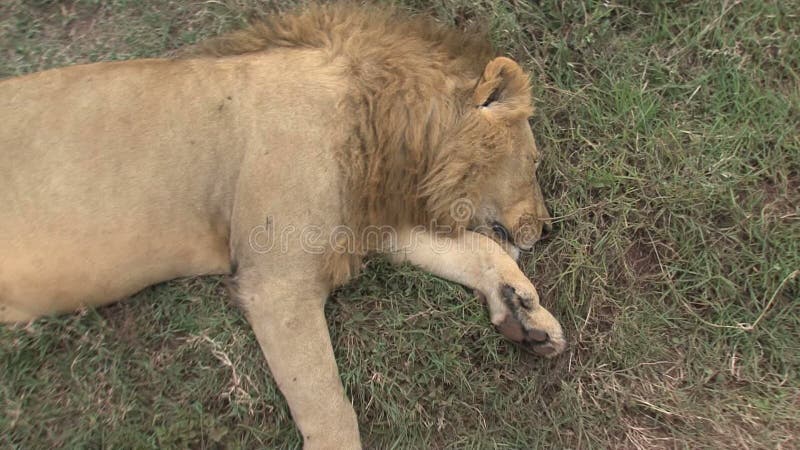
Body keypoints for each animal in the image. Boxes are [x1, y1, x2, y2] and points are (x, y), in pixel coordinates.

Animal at [0, 3, 565, 448]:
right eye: (534, 162)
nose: (548, 230)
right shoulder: (277, 281)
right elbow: (329, 408)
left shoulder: (364, 219)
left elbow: (477, 250)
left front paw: (525, 314)